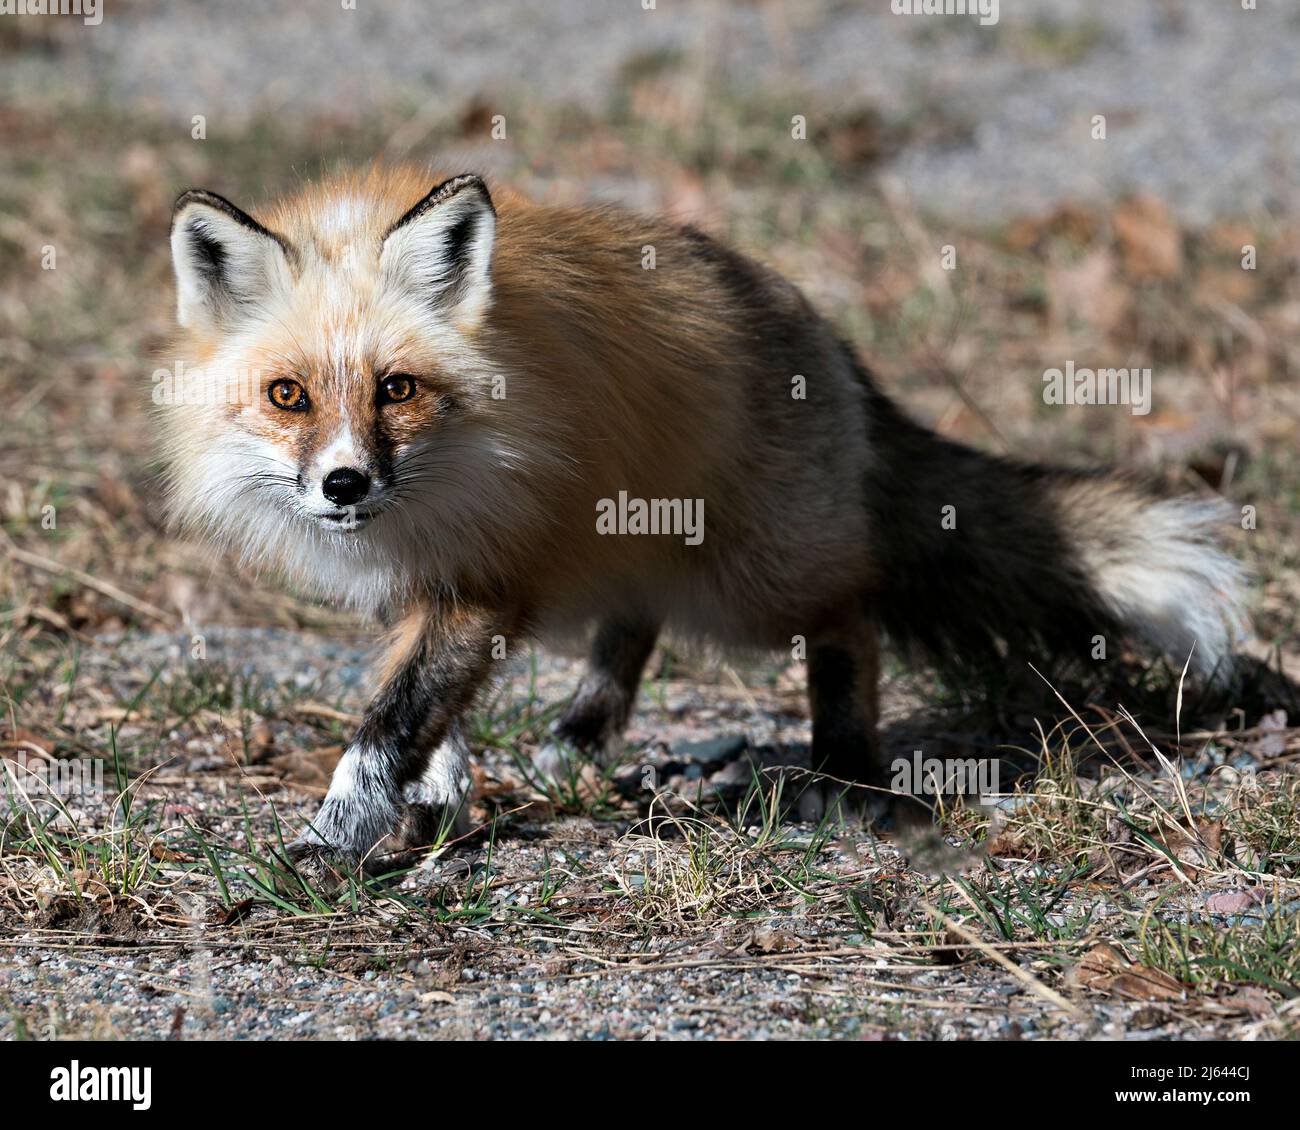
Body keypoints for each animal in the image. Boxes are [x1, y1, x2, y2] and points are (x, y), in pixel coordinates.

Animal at [159, 165, 1249, 877]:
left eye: (397, 388)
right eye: (290, 394)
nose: (344, 486)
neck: (439, 485)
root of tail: (828, 337)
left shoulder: (485, 576)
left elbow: (389, 724)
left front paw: (331, 840)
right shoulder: (438, 578)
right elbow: (430, 713)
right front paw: (432, 797)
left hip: (748, 584)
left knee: (848, 616)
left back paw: (841, 772)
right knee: (635, 622)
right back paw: (581, 739)